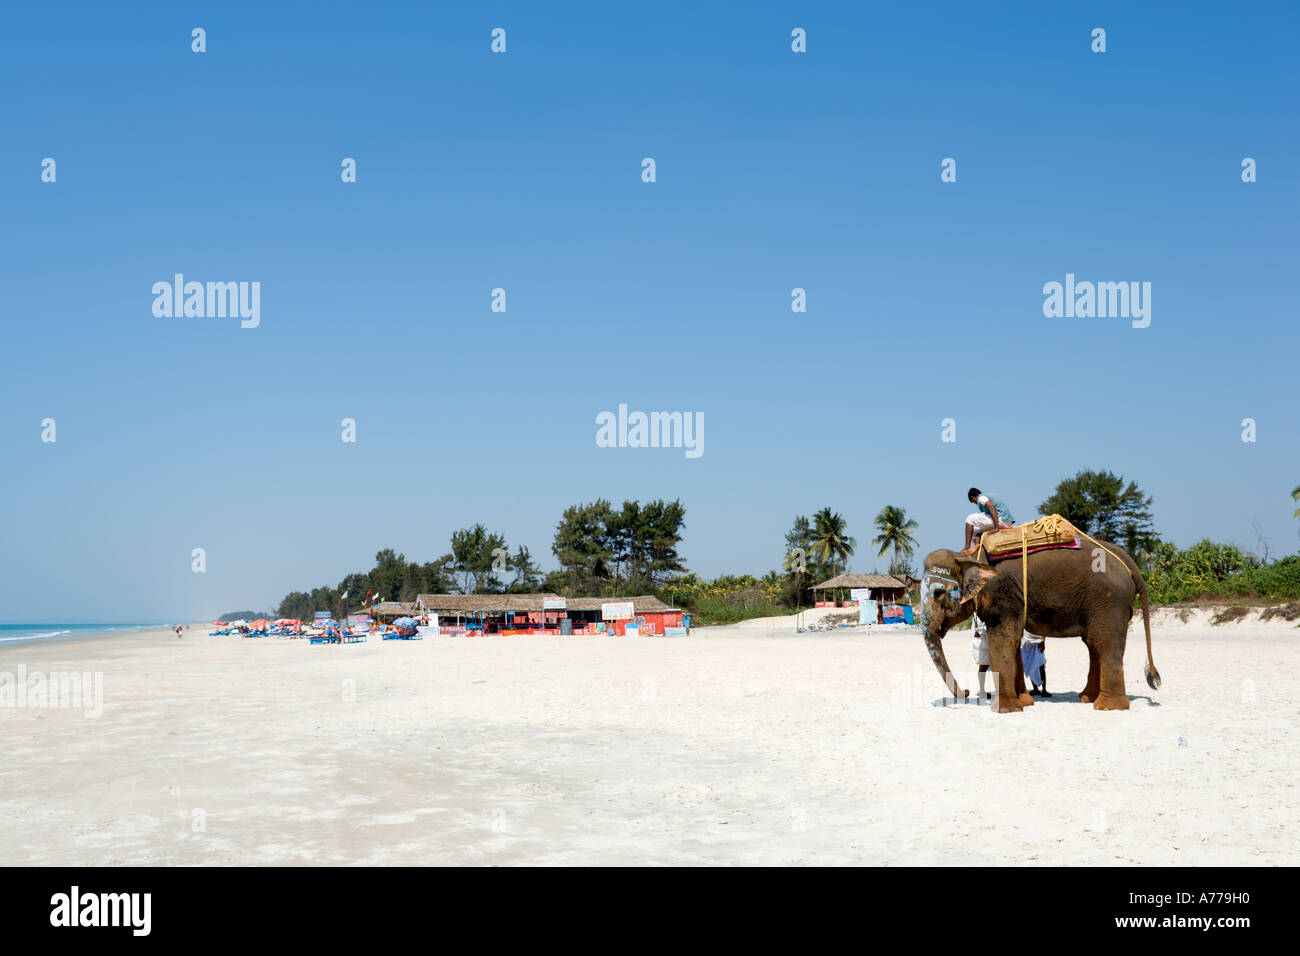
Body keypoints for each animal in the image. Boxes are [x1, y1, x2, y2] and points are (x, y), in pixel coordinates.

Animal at [920, 541, 1164, 712]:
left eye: (938, 593)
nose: (966, 692)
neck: (969, 556)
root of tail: (1129, 562)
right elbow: (1014, 641)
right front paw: (1024, 702)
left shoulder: (1003, 593)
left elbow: (1004, 639)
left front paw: (1005, 710)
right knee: (1094, 644)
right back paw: (1086, 698)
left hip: (1109, 602)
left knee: (1106, 643)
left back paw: (1107, 707)